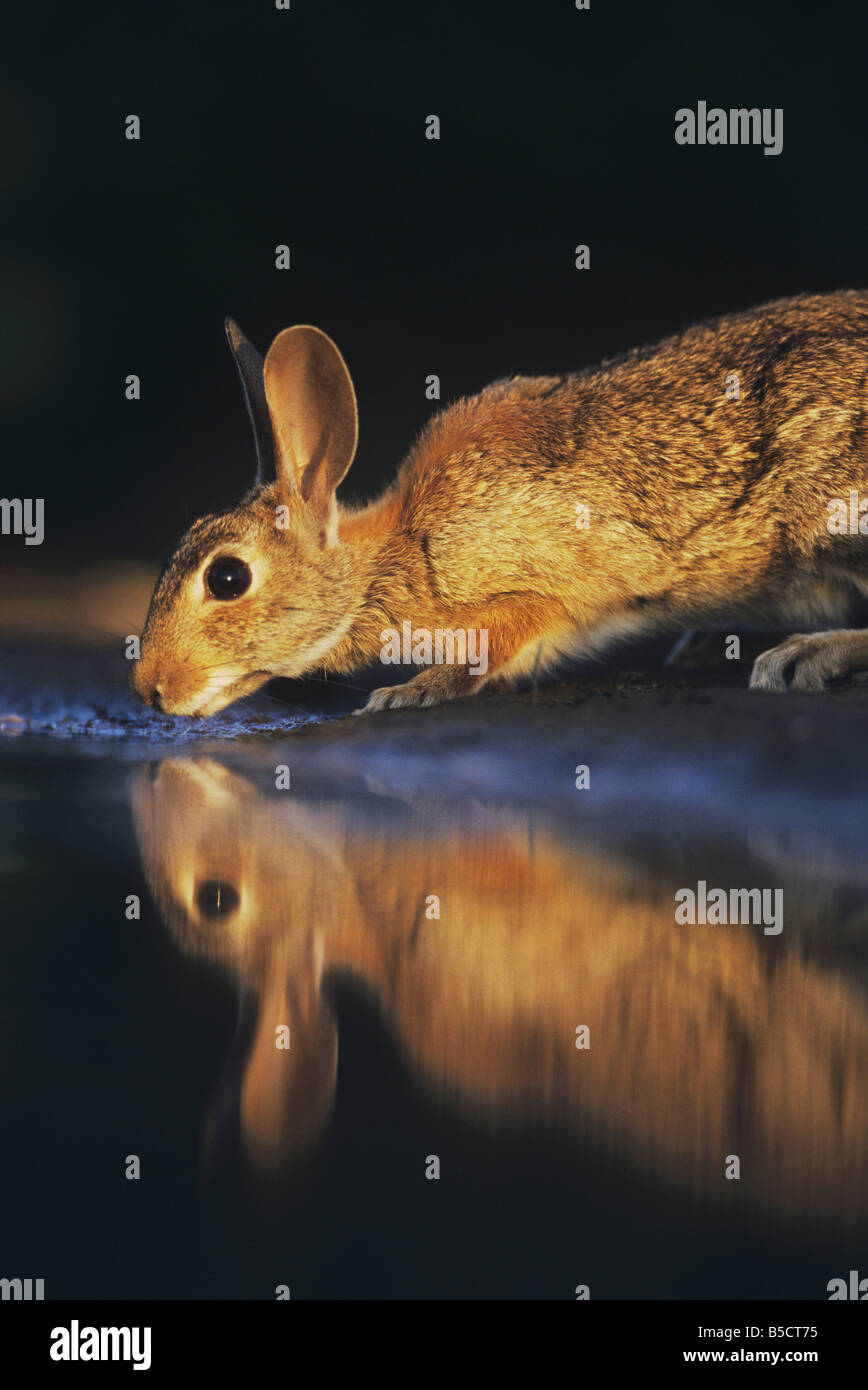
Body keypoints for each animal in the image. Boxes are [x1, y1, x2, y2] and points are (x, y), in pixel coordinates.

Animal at [131, 291, 868, 716]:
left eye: (228, 578)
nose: (150, 690)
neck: (392, 557)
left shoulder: (535, 588)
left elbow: (498, 640)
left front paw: (407, 693)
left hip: (827, 514)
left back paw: (798, 658)